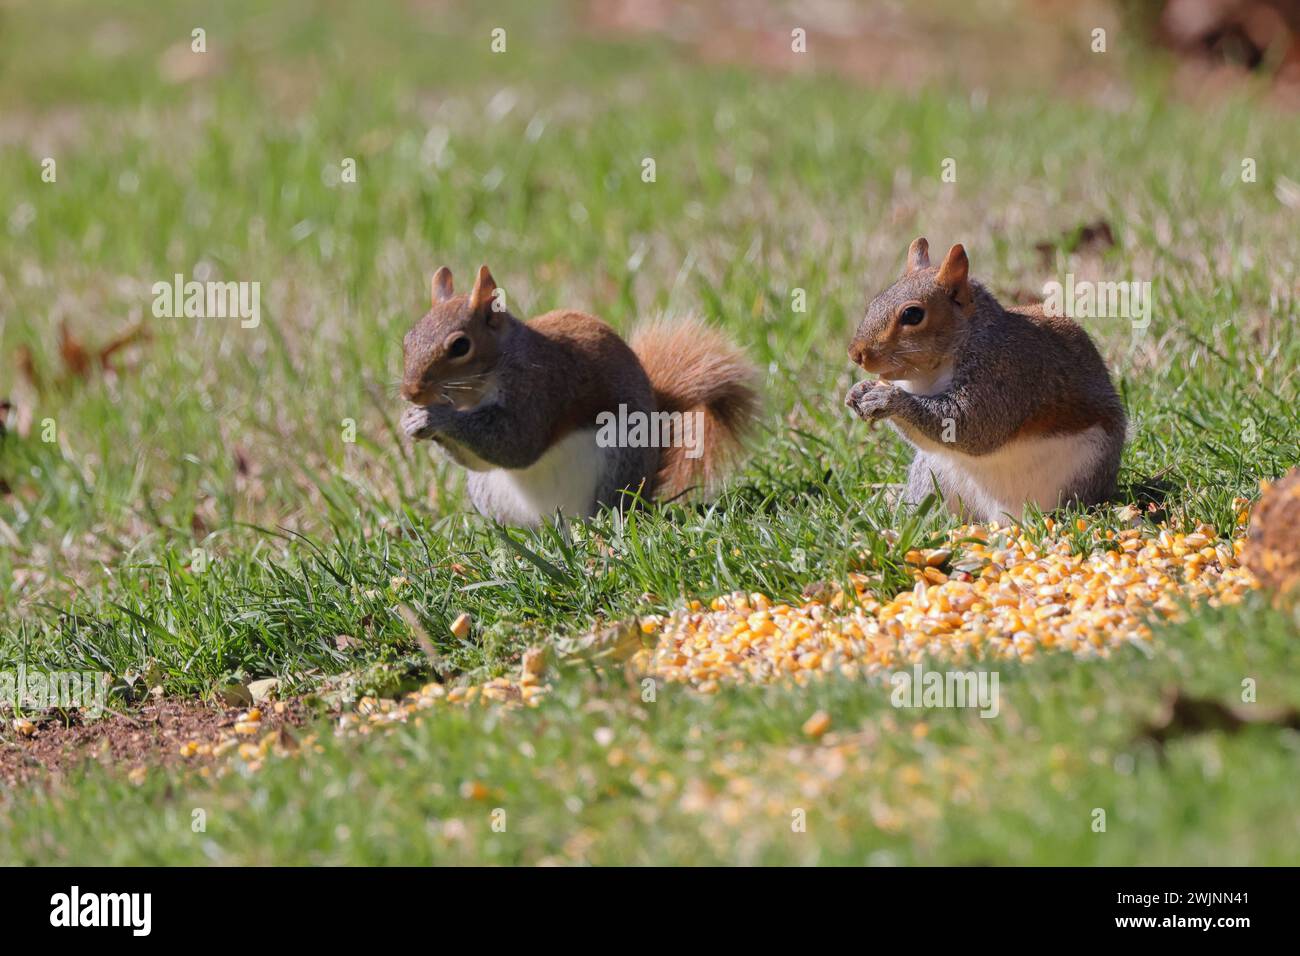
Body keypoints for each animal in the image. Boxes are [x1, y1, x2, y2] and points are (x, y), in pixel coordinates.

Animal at [400, 265, 758, 526]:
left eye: (460, 345)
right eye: (407, 338)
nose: (410, 392)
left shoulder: (540, 388)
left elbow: (516, 444)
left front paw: (435, 417)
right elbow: (482, 458)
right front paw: (411, 421)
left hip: (616, 465)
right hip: (487, 493)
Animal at [845, 238, 1126, 523]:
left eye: (912, 315)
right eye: (874, 302)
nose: (856, 354)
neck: (928, 376)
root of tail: (999, 516)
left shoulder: (1004, 373)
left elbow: (970, 423)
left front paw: (889, 399)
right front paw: (858, 391)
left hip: (1081, 472)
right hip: (935, 478)